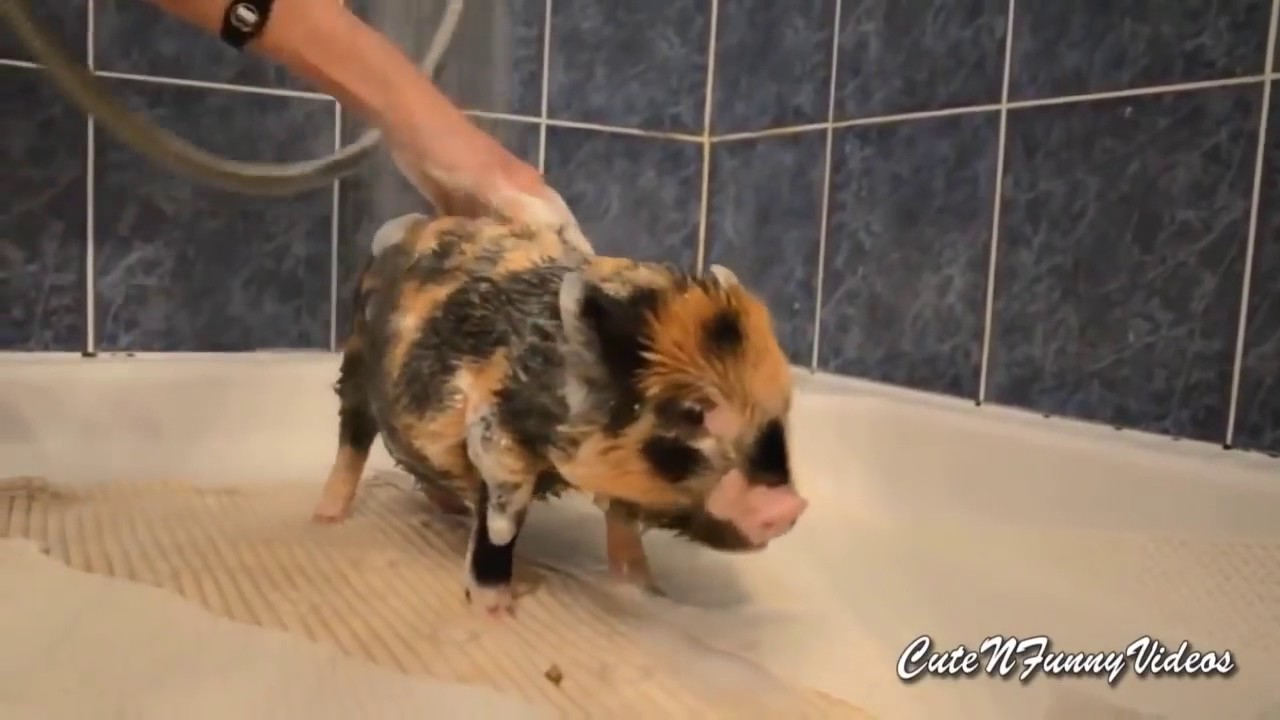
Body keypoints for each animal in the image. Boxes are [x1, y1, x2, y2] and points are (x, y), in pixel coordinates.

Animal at [311, 213, 808, 613]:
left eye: (783, 404)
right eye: (693, 412)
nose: (788, 506)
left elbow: (622, 520)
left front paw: (648, 591)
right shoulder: (495, 432)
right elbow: (502, 523)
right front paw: (494, 609)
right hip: (355, 363)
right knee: (352, 439)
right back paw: (324, 519)